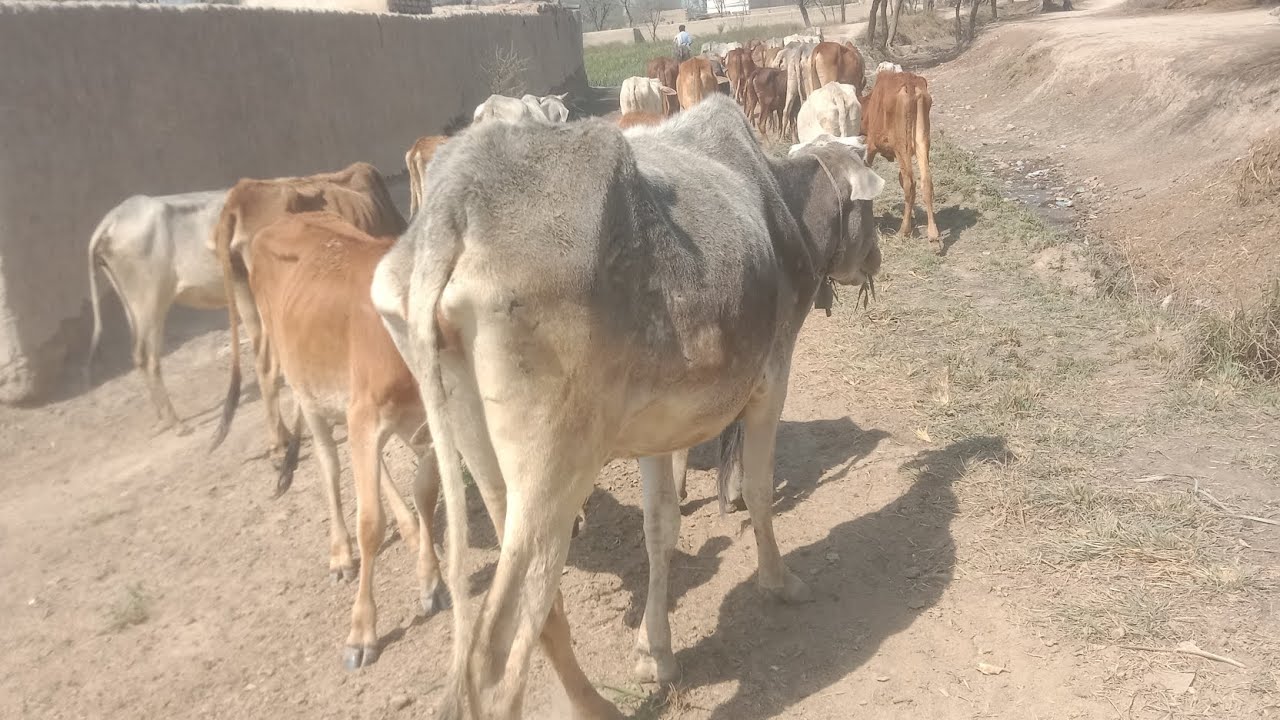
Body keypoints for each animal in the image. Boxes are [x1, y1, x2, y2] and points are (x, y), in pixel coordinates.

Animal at [86, 191, 228, 434]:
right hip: (151, 299)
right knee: (149, 357)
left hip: (130, 301)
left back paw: (162, 420)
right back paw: (177, 424)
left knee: (137, 355)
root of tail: (111, 219)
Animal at [220, 211, 443, 670]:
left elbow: (426, 491)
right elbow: (370, 524)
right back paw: (340, 553)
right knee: (329, 466)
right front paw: (361, 634)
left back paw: (410, 530)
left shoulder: (416, 421)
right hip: (306, 391)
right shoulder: (365, 415)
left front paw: (431, 580)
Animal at [371, 95, 885, 719]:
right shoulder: (771, 379)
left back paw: (594, 702)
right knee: (494, 652)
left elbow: (660, 526)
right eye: (871, 207)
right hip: (555, 464)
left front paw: (654, 653)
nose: (876, 257)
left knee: (542, 607)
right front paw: (779, 582)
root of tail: (452, 210)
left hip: (487, 463)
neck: (781, 204)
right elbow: (759, 490)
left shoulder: (656, 428)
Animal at [861, 68, 941, 251]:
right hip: (922, 140)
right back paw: (933, 237)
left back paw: (904, 231)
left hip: (901, 144)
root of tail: (910, 83)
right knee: (926, 181)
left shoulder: (871, 146)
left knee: (910, 183)